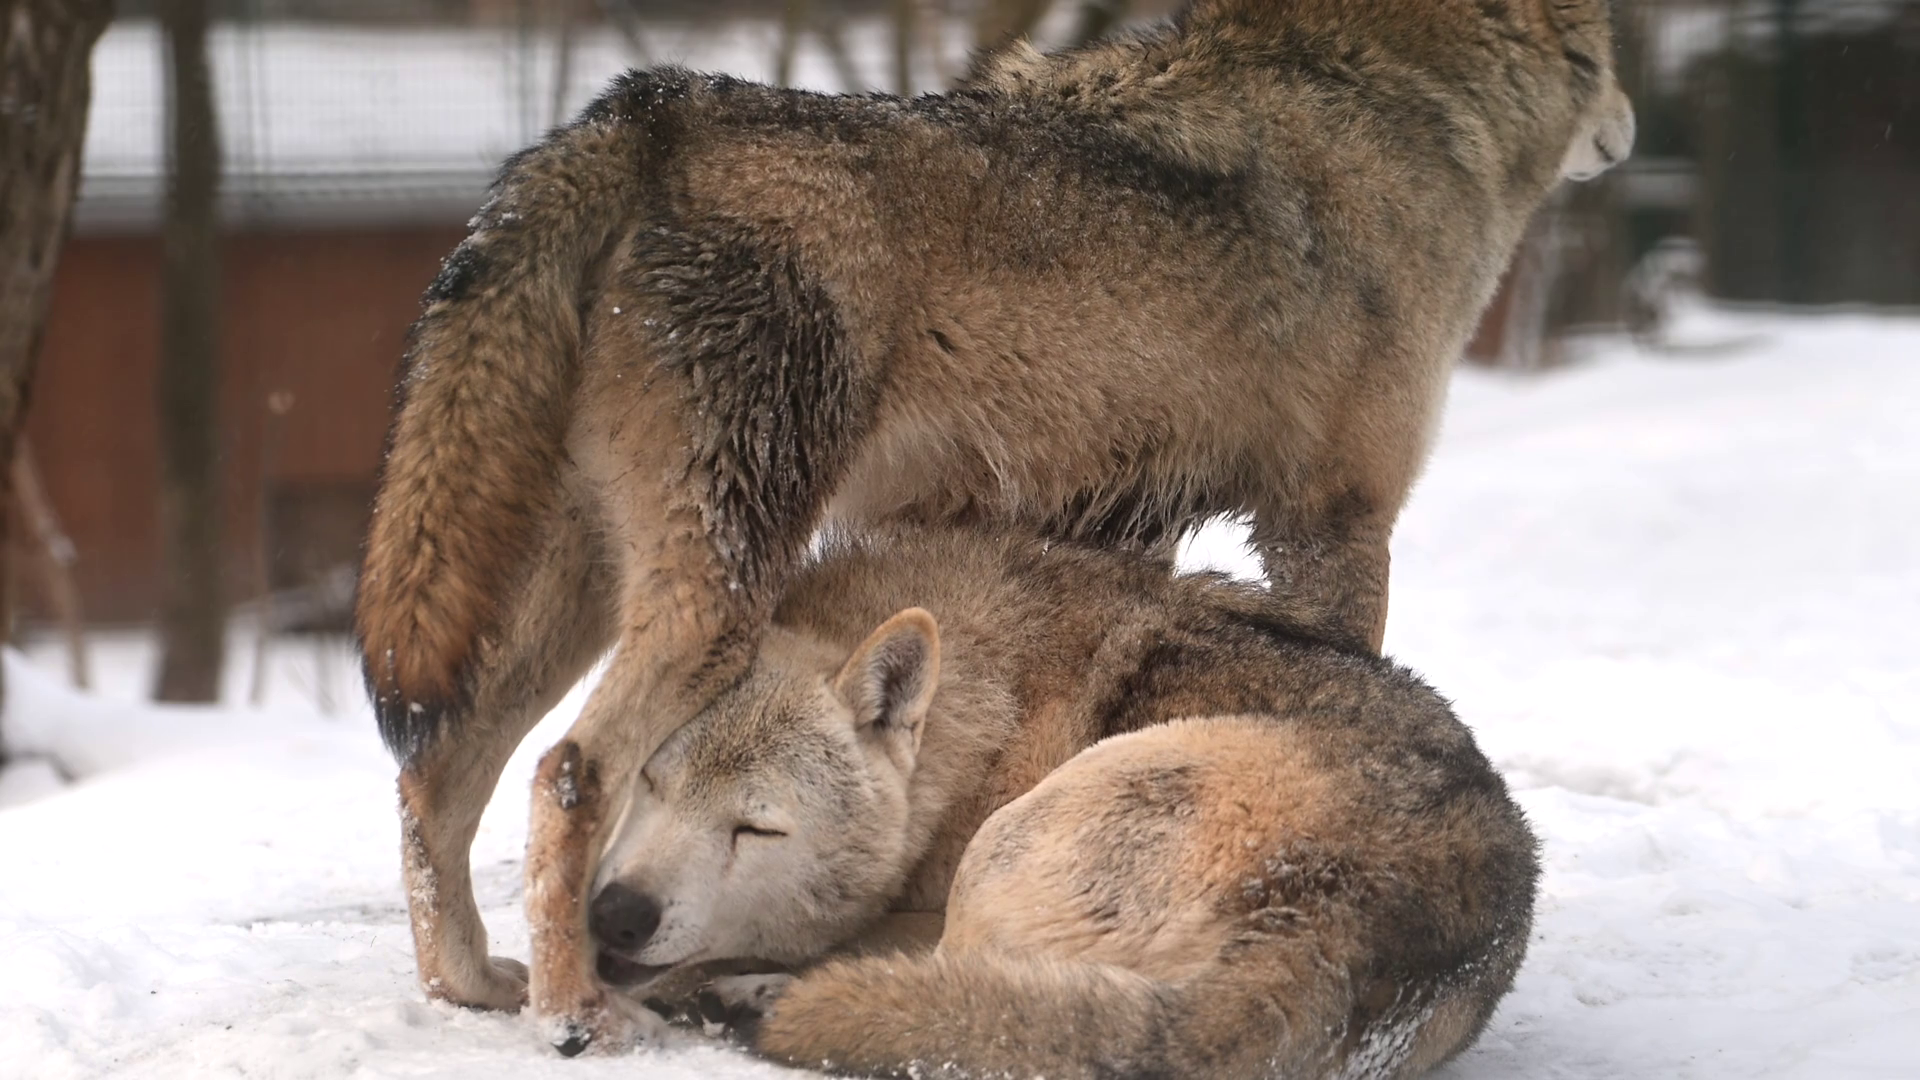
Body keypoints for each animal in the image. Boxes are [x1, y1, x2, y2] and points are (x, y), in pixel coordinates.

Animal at [586, 526, 1540, 1078]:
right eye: (650, 782)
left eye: (756, 829)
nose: (617, 914)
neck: (983, 704)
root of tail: (1336, 927)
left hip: (1016, 841)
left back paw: (756, 1001)